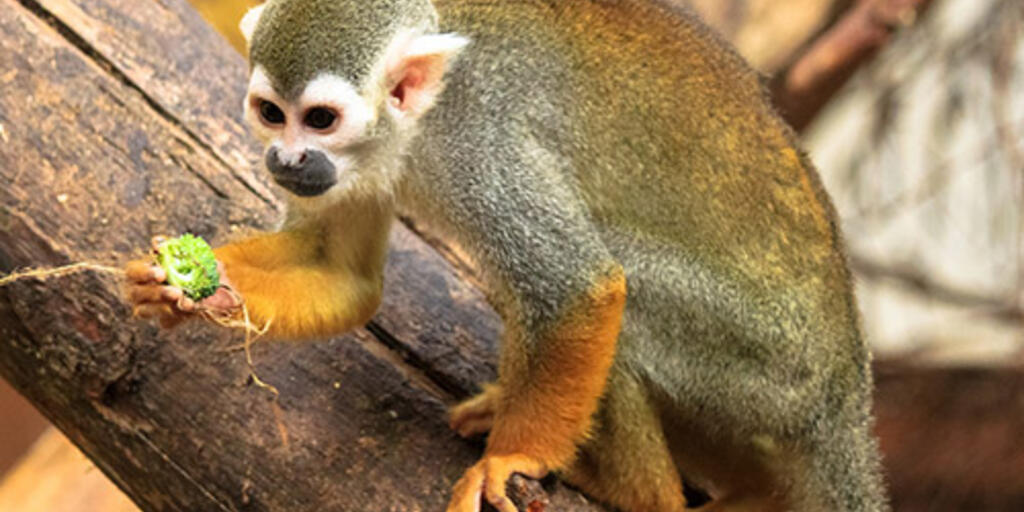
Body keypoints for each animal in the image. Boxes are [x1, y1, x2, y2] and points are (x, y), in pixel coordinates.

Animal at [125, 1, 889, 510]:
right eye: (269, 112)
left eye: (319, 119)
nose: (287, 161)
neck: (418, 125)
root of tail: (849, 395)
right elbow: (338, 273)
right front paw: (184, 285)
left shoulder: (481, 143)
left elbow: (580, 286)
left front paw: (514, 459)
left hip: (769, 373)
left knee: (611, 290)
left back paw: (632, 489)